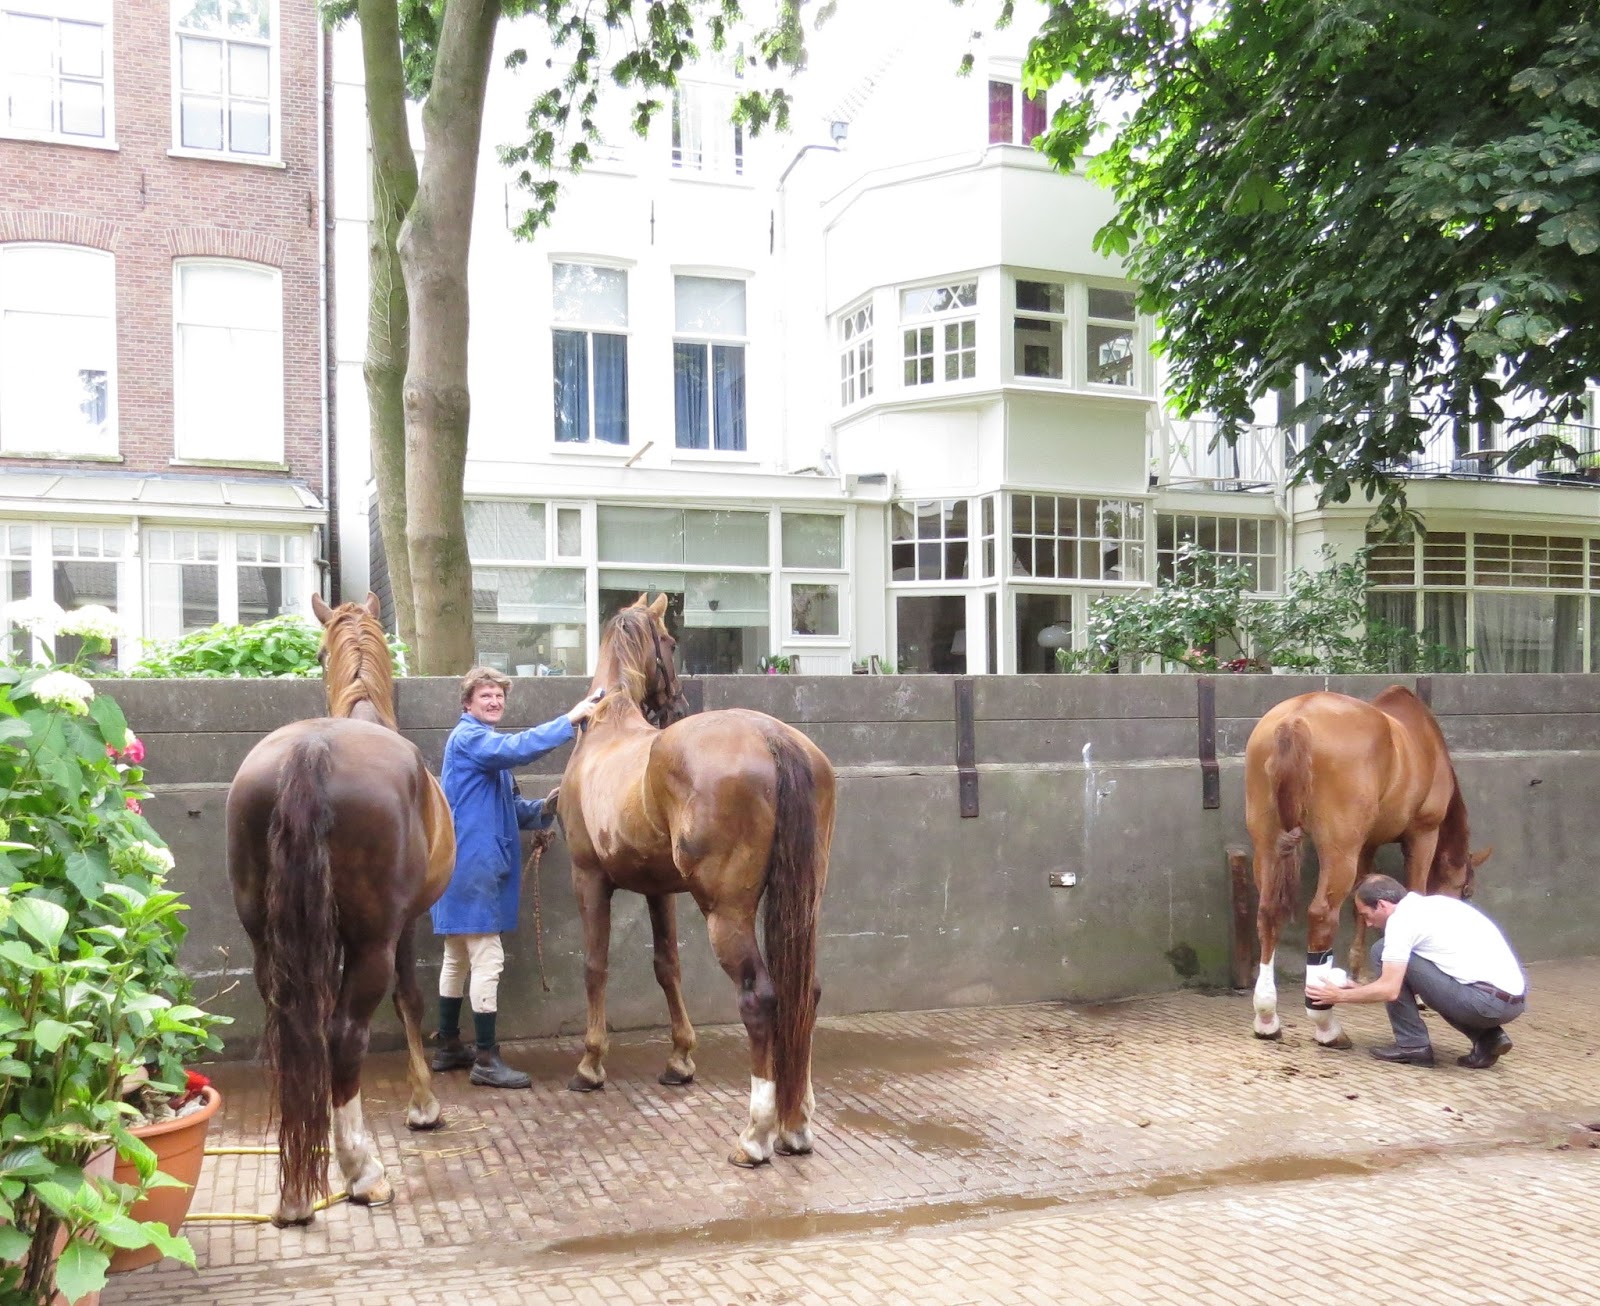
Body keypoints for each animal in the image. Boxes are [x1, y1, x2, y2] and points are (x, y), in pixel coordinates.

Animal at [224, 592, 456, 1225]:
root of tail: (313, 750)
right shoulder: (403, 927)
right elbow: (410, 999)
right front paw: (423, 1106)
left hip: (267, 940)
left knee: (295, 1031)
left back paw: (295, 1192)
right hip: (373, 941)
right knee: (346, 1033)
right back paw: (364, 1172)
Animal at [556, 594, 835, 1166]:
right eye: (671, 641)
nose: (679, 704)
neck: (606, 726)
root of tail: (772, 736)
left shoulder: (588, 878)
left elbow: (595, 967)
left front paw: (590, 1065)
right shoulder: (658, 891)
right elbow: (668, 967)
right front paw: (680, 1059)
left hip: (726, 915)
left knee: (761, 998)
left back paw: (756, 1134)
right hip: (803, 908)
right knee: (806, 991)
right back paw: (796, 1123)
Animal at [1243, 684, 1489, 1048]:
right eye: (1465, 890)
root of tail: (1295, 719)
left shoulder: (1368, 843)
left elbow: (1363, 901)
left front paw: (1358, 973)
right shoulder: (1423, 835)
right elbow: (1412, 892)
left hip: (1268, 842)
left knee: (1267, 914)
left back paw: (1267, 1018)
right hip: (1339, 848)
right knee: (1321, 916)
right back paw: (1325, 1024)